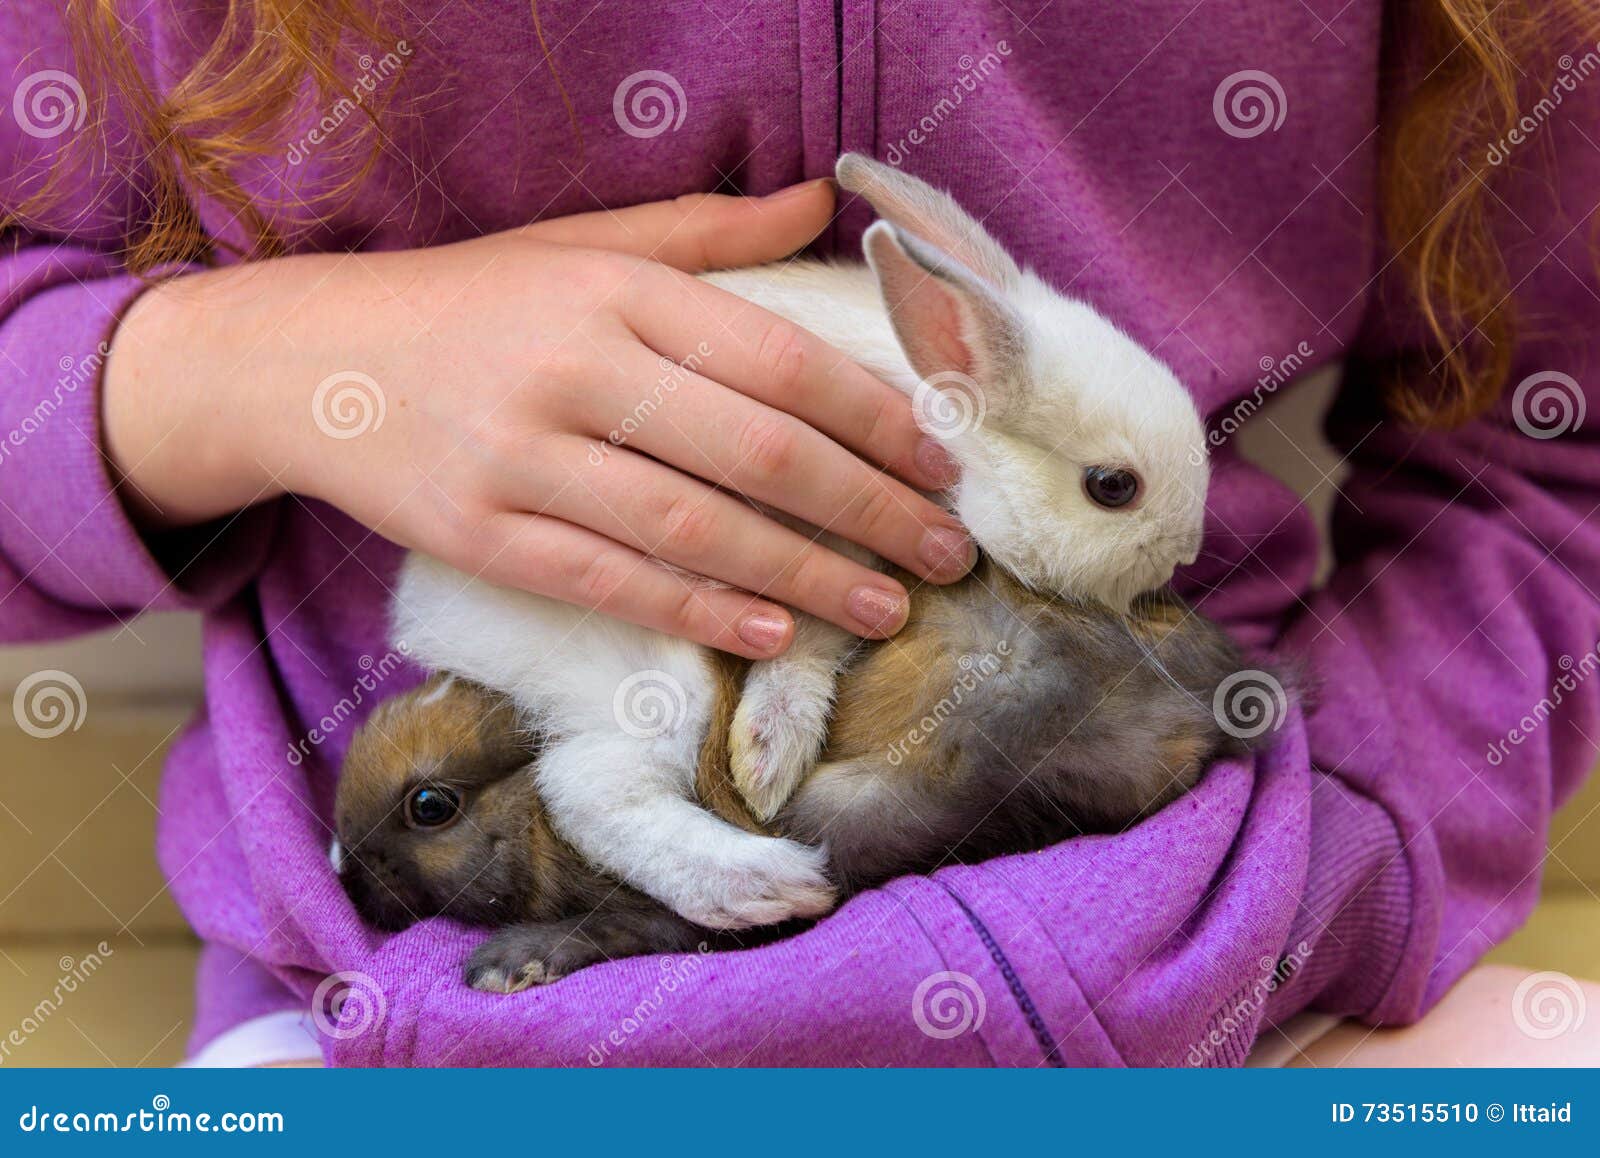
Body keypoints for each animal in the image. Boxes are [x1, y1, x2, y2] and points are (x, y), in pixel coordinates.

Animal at [388, 153, 1211, 935]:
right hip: (647, 670)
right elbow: (801, 651)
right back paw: (759, 883)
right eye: (1113, 486)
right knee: (586, 786)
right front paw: (769, 758)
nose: (1185, 553)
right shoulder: (833, 558)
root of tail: (426, 612)